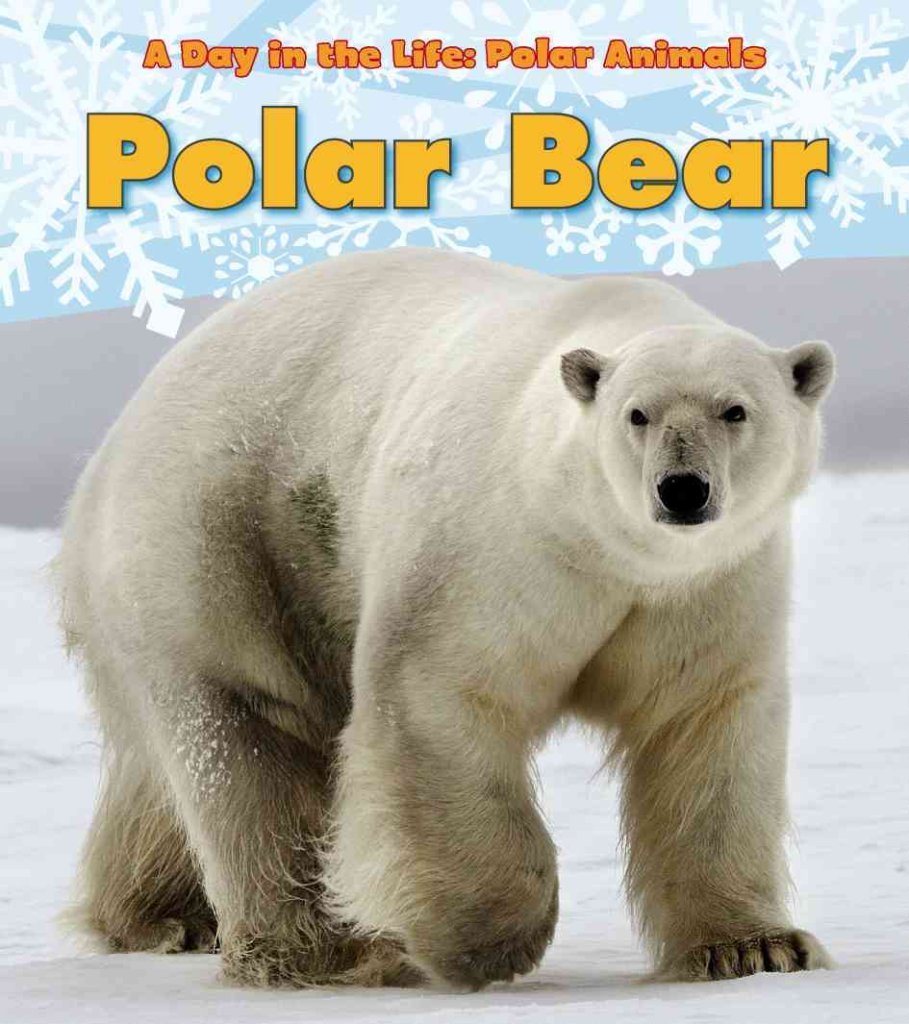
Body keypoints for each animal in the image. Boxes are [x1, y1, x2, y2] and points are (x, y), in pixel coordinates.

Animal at [56, 247, 835, 990]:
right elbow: (437, 695)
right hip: (220, 541)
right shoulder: (492, 549)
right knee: (246, 736)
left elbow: (703, 728)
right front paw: (483, 939)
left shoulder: (703, 588)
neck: (604, 547)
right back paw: (323, 951)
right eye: (636, 414)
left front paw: (752, 947)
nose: (682, 489)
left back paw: (165, 916)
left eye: (735, 410)